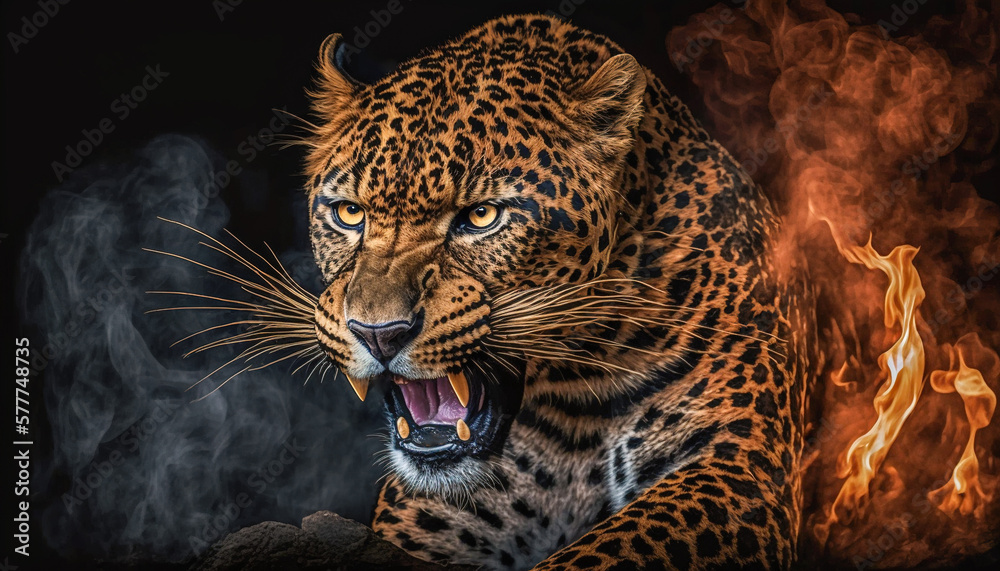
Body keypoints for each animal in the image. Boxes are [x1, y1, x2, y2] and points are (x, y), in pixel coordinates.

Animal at [303, 13, 817, 570]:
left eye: (481, 216)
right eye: (349, 213)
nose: (378, 333)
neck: (577, 383)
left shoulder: (735, 462)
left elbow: (610, 547)